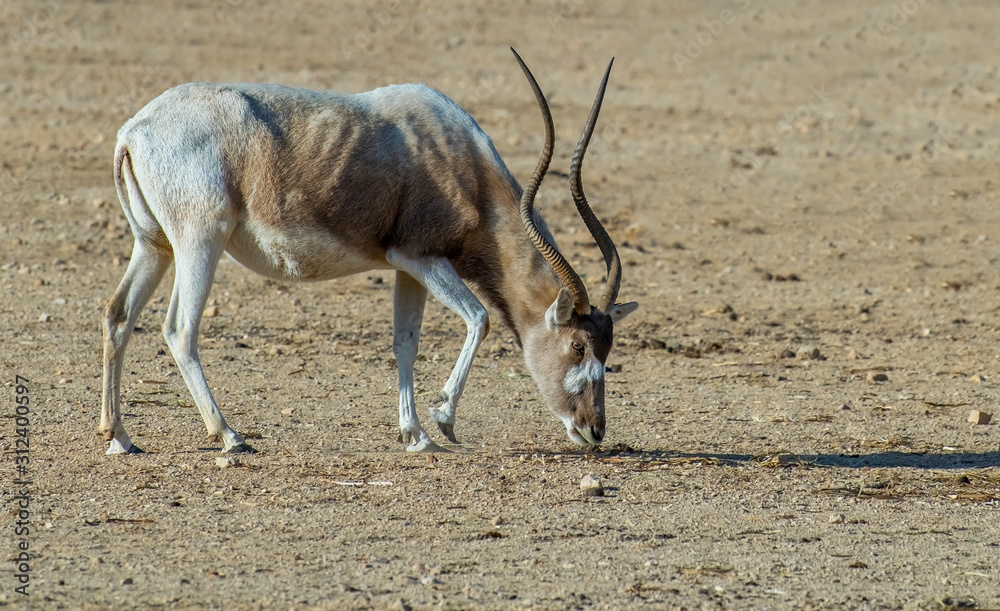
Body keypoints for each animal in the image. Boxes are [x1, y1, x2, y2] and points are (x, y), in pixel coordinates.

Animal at [100, 49, 638, 455]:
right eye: (578, 346)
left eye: (608, 349)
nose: (593, 430)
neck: (464, 166)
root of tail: (133, 130)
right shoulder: (423, 257)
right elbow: (479, 318)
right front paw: (443, 419)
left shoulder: (407, 269)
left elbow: (406, 342)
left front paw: (415, 434)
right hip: (200, 242)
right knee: (179, 329)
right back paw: (229, 436)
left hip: (155, 245)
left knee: (119, 314)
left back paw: (119, 437)